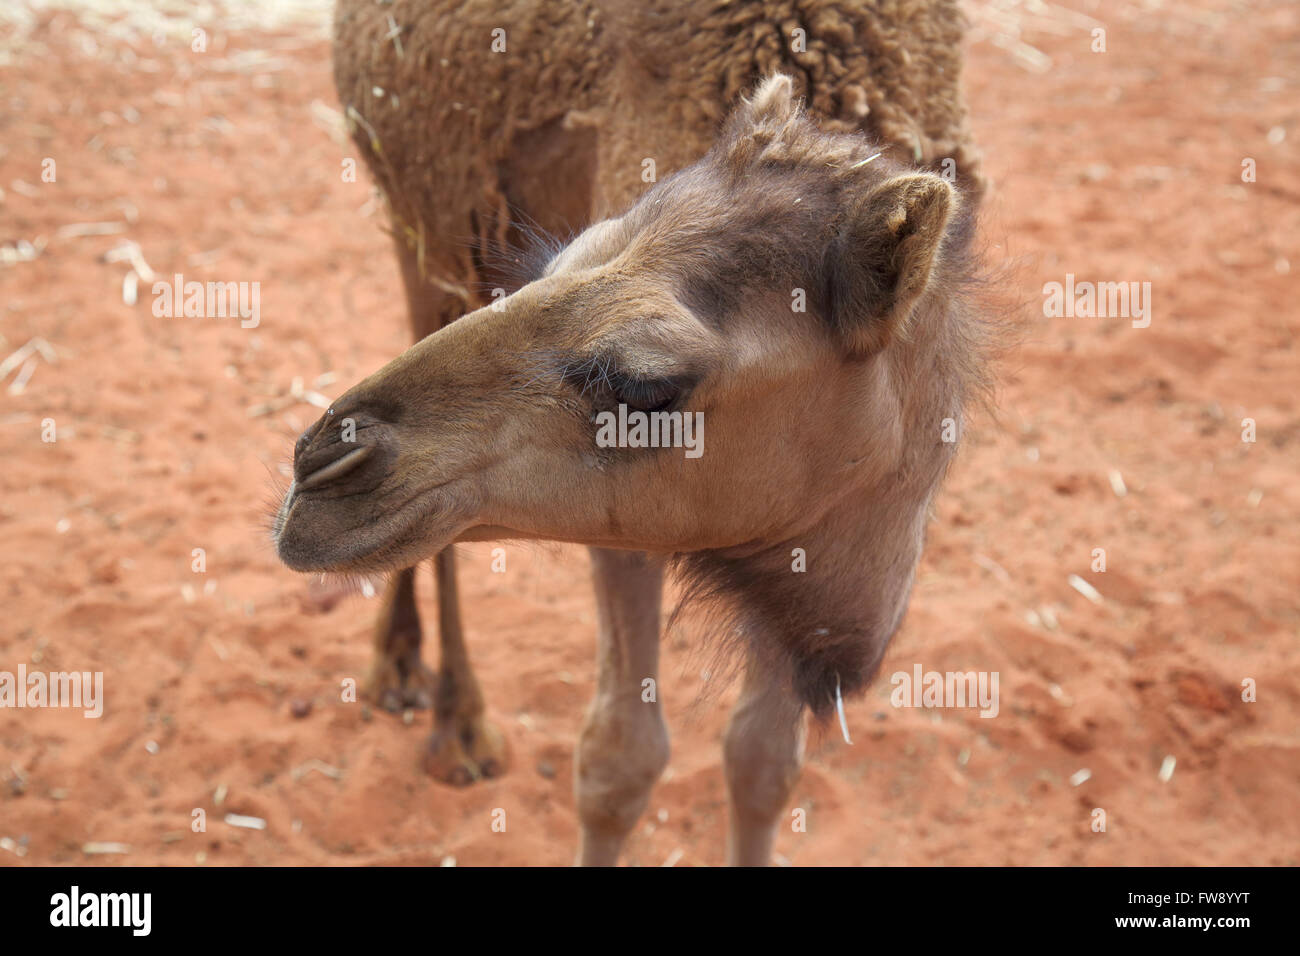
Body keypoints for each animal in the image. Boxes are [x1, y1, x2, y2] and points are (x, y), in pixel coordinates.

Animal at [276, 0, 989, 865]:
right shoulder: (632, 524)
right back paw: (450, 718)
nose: (320, 468)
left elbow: (763, 763)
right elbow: (620, 760)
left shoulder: (790, 531)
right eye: (552, 264)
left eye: (641, 385)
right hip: (426, 226)